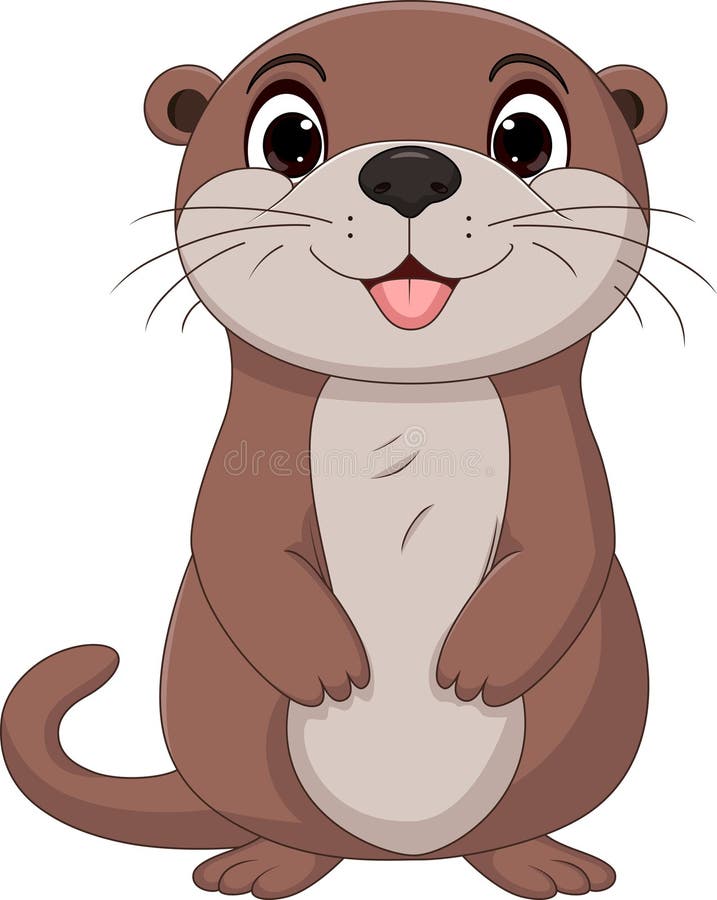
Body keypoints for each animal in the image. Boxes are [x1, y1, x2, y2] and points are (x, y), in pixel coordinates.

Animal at [2, 3, 669, 897]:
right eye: (289, 136)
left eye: (525, 136)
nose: (410, 170)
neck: (409, 396)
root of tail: (400, 853)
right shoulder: (254, 455)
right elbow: (233, 541)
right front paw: (323, 665)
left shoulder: (558, 459)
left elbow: (572, 545)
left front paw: (480, 664)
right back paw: (266, 861)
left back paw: (536, 859)